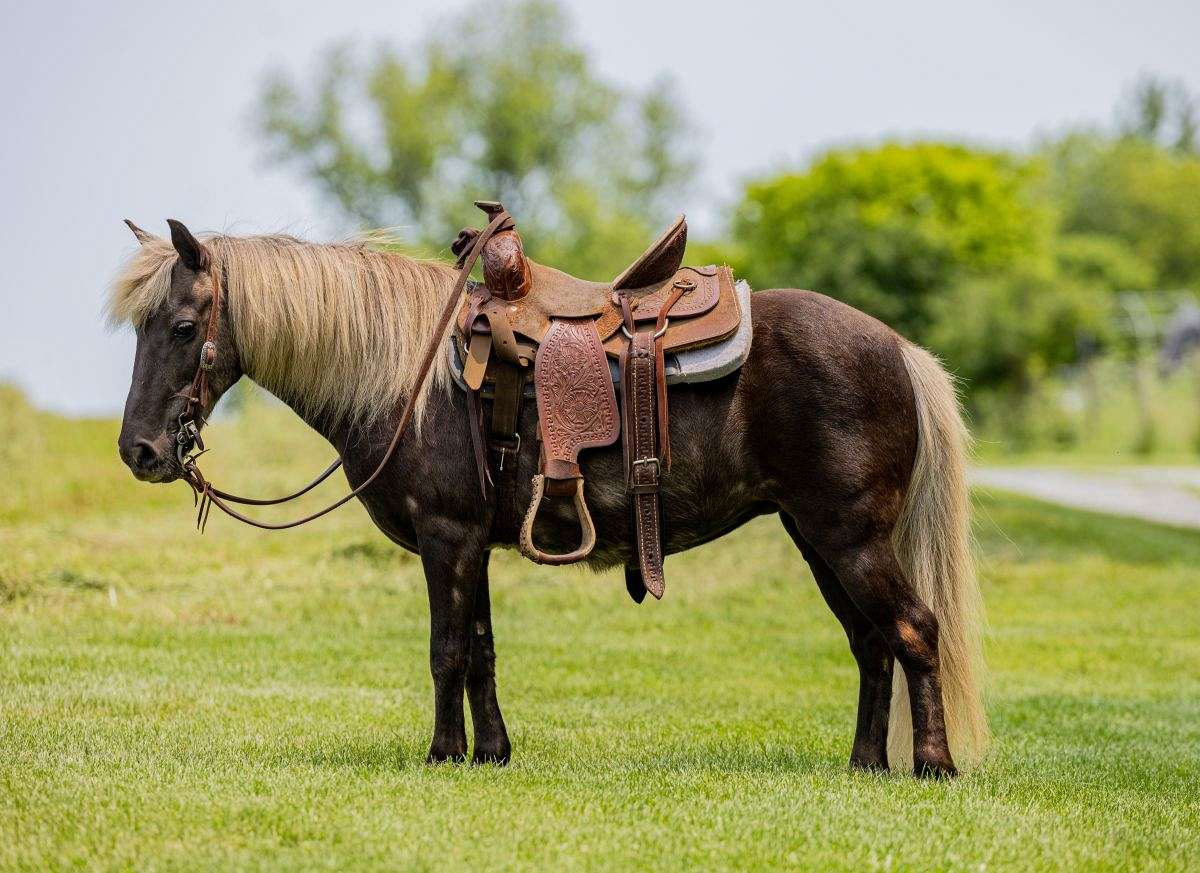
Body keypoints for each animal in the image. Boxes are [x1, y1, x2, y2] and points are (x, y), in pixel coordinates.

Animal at [110, 218, 987, 776]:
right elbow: (482, 651)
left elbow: (446, 650)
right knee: (872, 642)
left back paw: (931, 764)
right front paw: (490, 753)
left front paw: (441, 755)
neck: (408, 377)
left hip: (850, 537)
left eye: (183, 327)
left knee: (914, 629)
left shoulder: (446, 536)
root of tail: (896, 346)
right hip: (817, 538)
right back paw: (865, 764)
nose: (140, 451)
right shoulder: (470, 541)